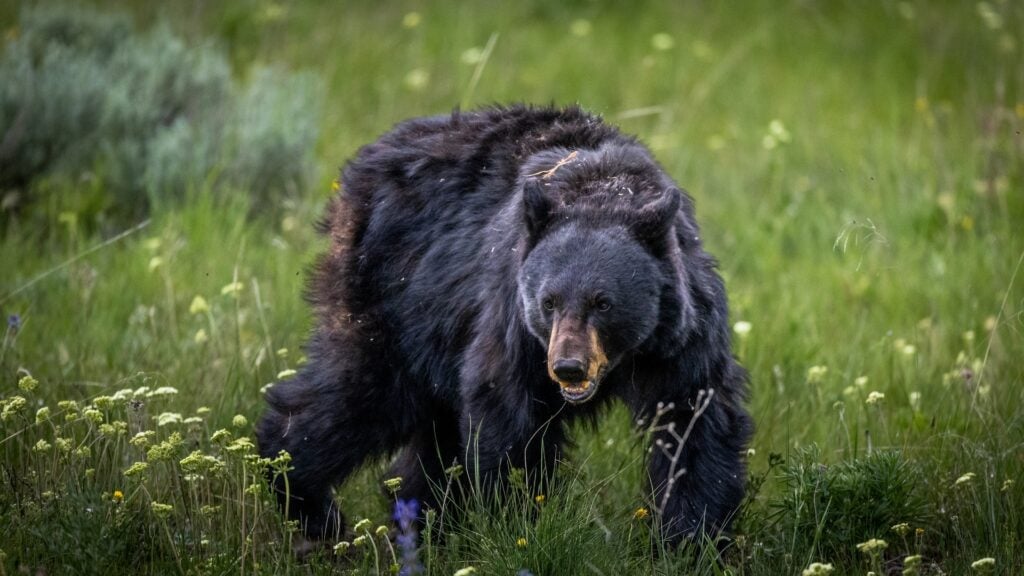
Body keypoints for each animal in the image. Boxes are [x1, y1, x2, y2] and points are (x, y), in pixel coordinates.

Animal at [256, 104, 752, 546]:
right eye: (549, 302)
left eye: (603, 303)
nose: (568, 367)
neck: (603, 191)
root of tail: (356, 172)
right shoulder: (512, 320)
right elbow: (509, 418)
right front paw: (516, 521)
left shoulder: (683, 335)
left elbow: (696, 421)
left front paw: (691, 538)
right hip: (394, 300)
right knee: (359, 394)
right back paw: (308, 502)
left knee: (429, 433)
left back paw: (422, 523)